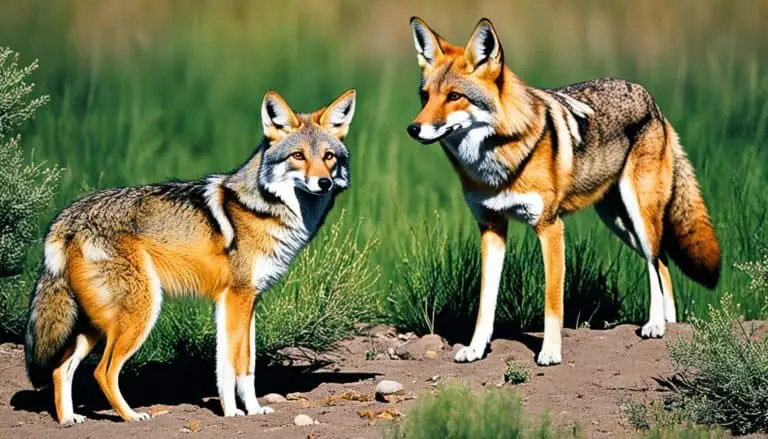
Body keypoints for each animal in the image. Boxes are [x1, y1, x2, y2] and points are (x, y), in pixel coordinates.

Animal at [24, 89, 357, 425]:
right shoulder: (238, 299)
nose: (324, 182)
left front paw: (238, 410)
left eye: (329, 156)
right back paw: (131, 416)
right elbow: (240, 365)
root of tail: (67, 218)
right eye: (298, 156)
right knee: (102, 372)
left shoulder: (240, 303)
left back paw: (68, 419)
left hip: (97, 325)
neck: (265, 209)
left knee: (60, 369)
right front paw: (241, 412)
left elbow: (233, 366)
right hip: (139, 316)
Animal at [406, 17, 720, 366]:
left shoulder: (550, 227)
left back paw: (655, 325)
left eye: (454, 96)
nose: (413, 129)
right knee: (663, 262)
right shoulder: (491, 227)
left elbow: (552, 302)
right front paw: (475, 349)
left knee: (655, 262)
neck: (495, 164)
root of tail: (651, 100)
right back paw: (669, 322)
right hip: (620, 224)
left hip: (639, 216)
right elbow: (485, 304)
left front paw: (550, 352)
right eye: (425, 96)